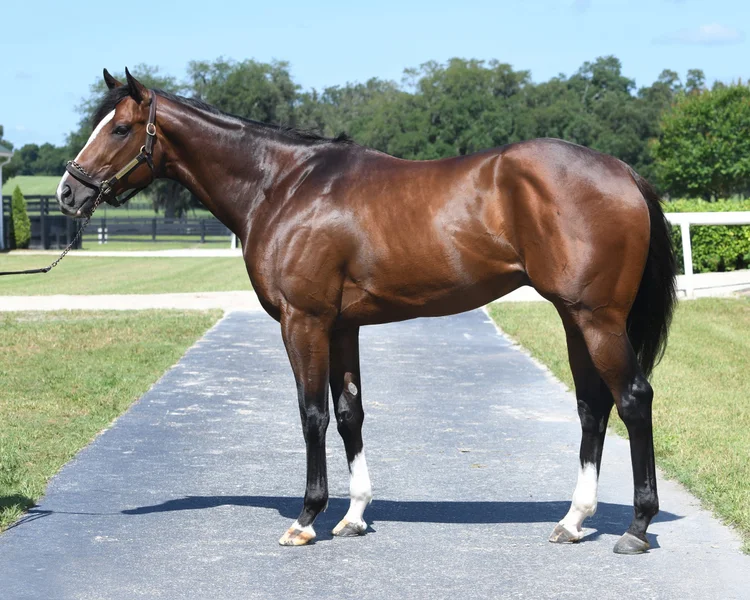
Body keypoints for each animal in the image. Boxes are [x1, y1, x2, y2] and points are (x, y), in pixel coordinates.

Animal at [56, 68, 677, 554]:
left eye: (119, 128)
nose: (68, 192)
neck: (282, 186)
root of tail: (623, 171)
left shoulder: (303, 321)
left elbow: (312, 414)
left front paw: (307, 518)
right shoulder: (341, 327)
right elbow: (349, 413)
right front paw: (353, 517)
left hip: (596, 317)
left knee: (633, 399)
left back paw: (636, 528)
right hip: (575, 317)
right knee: (593, 406)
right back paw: (572, 522)